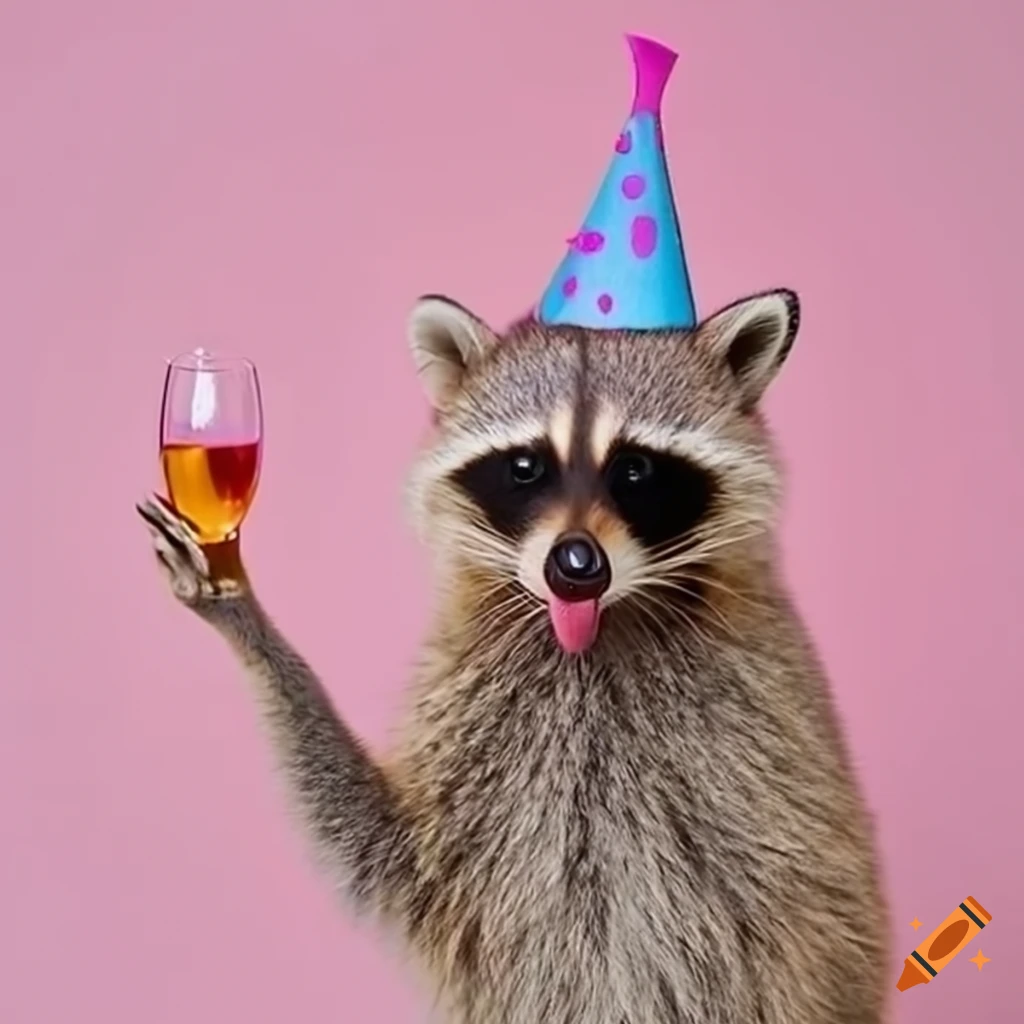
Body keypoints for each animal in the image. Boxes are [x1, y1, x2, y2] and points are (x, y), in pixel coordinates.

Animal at [138, 288, 890, 1023]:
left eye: (636, 469)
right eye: (527, 466)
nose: (576, 568)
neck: (586, 641)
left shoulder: (768, 721)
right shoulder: (463, 721)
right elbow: (379, 846)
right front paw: (243, 615)